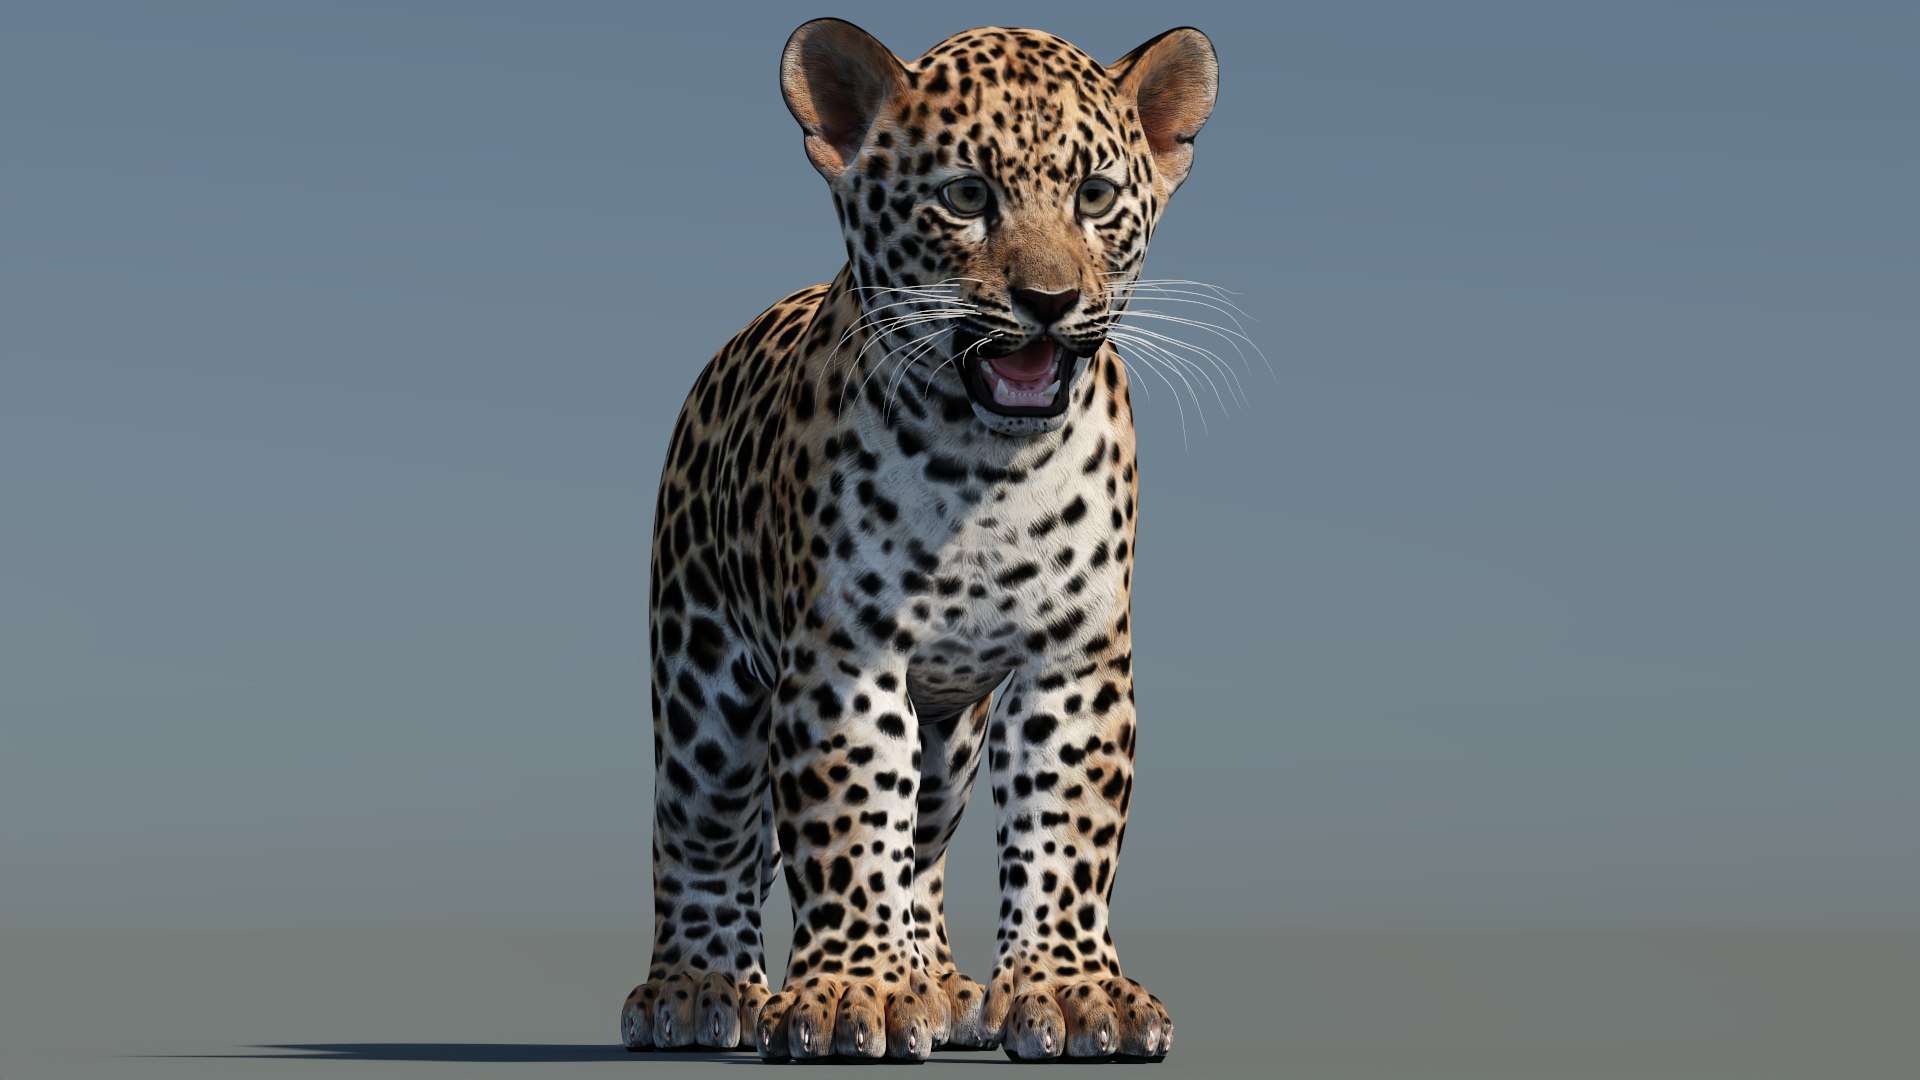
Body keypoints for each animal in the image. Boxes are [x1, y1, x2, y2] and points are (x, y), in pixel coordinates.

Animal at [619, 18, 1219, 1063]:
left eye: (1095, 196)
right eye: (967, 196)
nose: (1048, 300)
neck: (985, 472)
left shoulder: (1073, 661)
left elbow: (1064, 826)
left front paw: (1068, 991)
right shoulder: (845, 660)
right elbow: (849, 820)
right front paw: (843, 994)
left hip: (950, 733)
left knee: (923, 846)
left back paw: (935, 981)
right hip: (701, 684)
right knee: (704, 835)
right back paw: (700, 990)